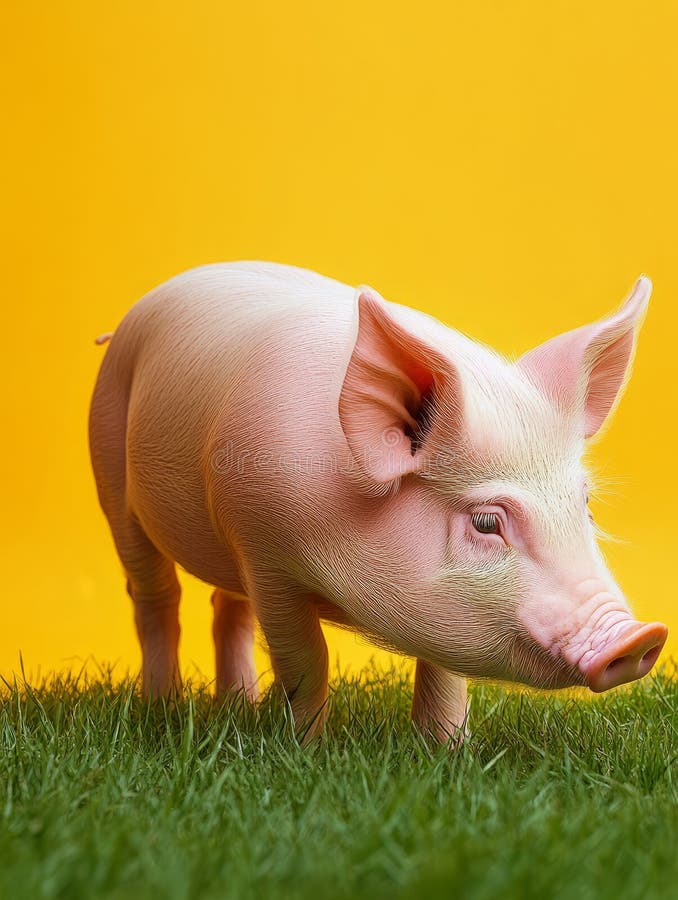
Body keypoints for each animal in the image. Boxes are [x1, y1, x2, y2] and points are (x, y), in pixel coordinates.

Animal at [89, 262, 668, 741]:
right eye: (486, 522)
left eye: (585, 505)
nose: (640, 637)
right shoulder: (266, 556)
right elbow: (307, 659)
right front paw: (308, 752)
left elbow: (444, 675)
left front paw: (447, 753)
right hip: (109, 467)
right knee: (155, 595)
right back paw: (162, 706)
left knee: (226, 607)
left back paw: (238, 706)